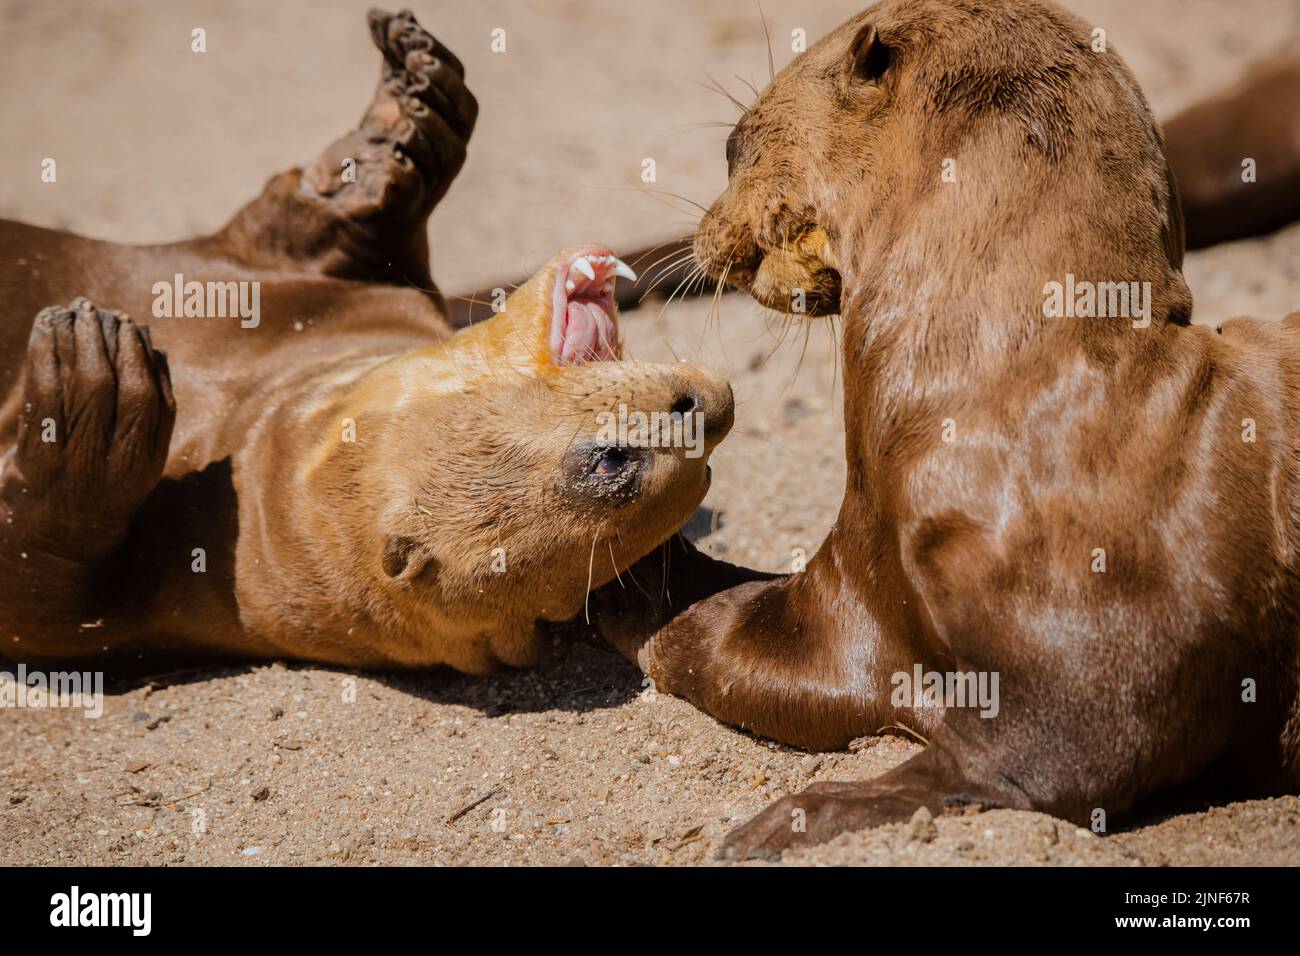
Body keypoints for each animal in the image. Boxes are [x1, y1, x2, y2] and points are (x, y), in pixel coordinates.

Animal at [0, 9, 732, 674]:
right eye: (610, 458)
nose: (704, 411)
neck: (240, 451)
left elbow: (43, 579)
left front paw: (92, 405)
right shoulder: (287, 283)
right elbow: (309, 221)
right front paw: (414, 107)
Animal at [596, 0, 1300, 860]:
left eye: (733, 146)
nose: (704, 228)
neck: (1009, 381)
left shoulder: (1112, 652)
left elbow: (1045, 757)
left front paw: (795, 816)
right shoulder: (858, 571)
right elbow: (720, 640)